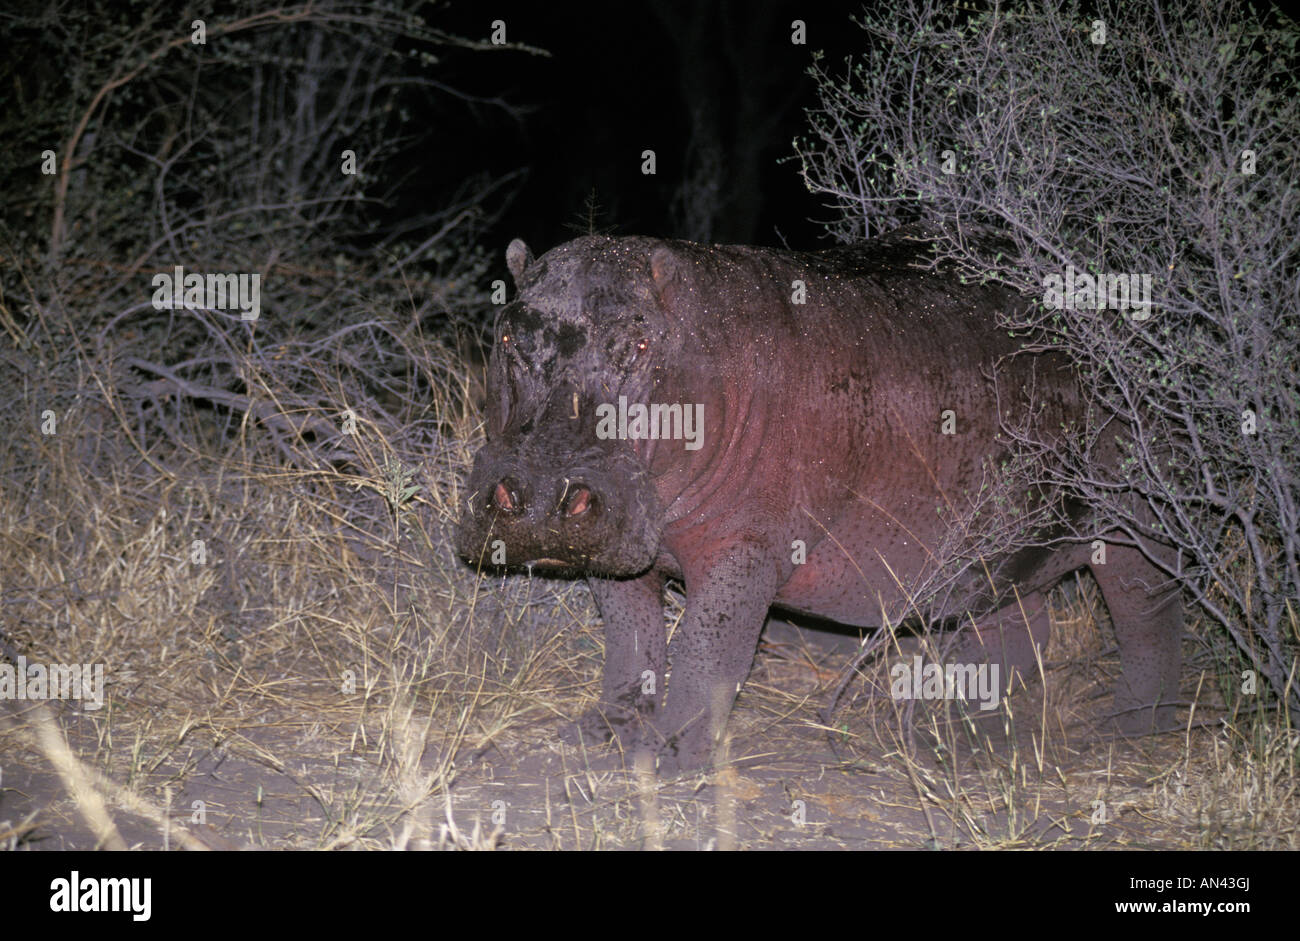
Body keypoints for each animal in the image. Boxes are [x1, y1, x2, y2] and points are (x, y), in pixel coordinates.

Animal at [457, 229, 1183, 773]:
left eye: (636, 342)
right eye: (506, 334)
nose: (540, 492)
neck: (697, 346)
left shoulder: (745, 552)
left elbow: (706, 646)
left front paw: (671, 756)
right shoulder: (617, 539)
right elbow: (631, 639)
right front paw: (603, 733)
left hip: (1132, 531)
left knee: (1146, 616)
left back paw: (1125, 728)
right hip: (1004, 552)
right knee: (1014, 630)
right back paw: (956, 728)